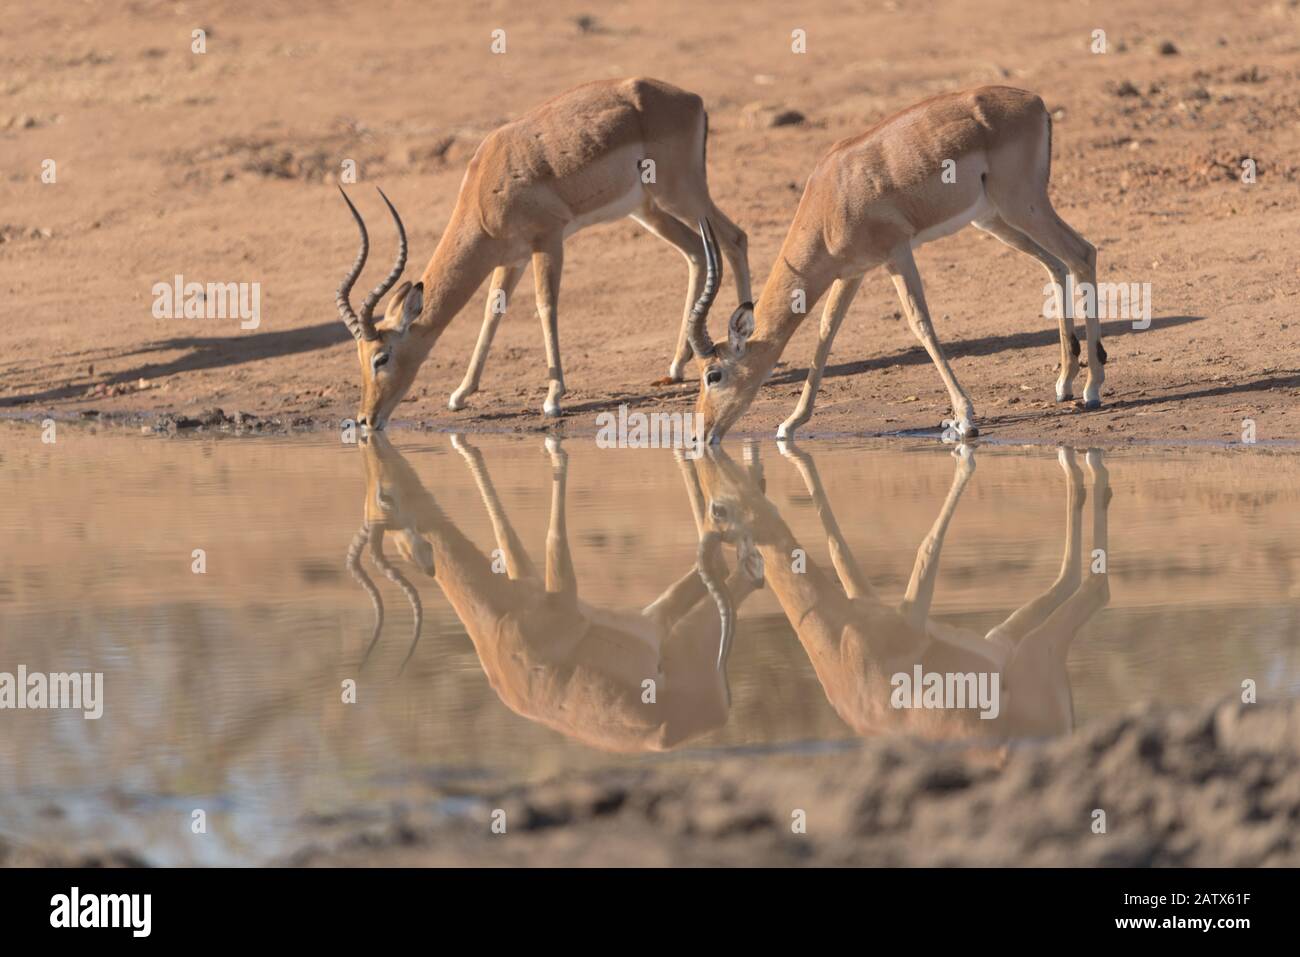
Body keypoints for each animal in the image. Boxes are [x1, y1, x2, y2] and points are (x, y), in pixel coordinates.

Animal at [334, 77, 751, 430]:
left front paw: (552, 399)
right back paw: (677, 365)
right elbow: (491, 312)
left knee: (735, 238)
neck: (485, 186)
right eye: (359, 358)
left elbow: (545, 306)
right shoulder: (511, 257)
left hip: (681, 194)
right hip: (648, 209)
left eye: (381, 357)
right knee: (697, 252)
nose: (366, 420)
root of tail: (690, 98)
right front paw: (461, 394)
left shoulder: (548, 240)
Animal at [347, 431, 763, 752]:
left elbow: (553, 535)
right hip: (660, 626)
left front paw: (556, 454)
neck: (497, 631)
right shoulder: (526, 577)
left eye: (385, 499)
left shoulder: (562, 595)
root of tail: (714, 715)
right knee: (726, 569)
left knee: (726, 568)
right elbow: (505, 533)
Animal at [686, 86, 1102, 443]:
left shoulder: (897, 253)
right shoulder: (852, 273)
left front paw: (965, 418)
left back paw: (1092, 389)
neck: (832, 197)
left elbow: (921, 325)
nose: (699, 433)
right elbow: (825, 334)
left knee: (1082, 253)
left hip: (1022, 204)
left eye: (713, 374)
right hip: (995, 220)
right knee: (1056, 265)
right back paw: (1065, 384)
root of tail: (1035, 102)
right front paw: (791, 423)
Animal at [695, 441, 1112, 743]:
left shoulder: (909, 616)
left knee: (1094, 589)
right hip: (1011, 646)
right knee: (1080, 583)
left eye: (718, 510)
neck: (841, 649)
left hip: (1029, 655)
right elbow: (838, 548)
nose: (742, 471)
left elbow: (924, 547)